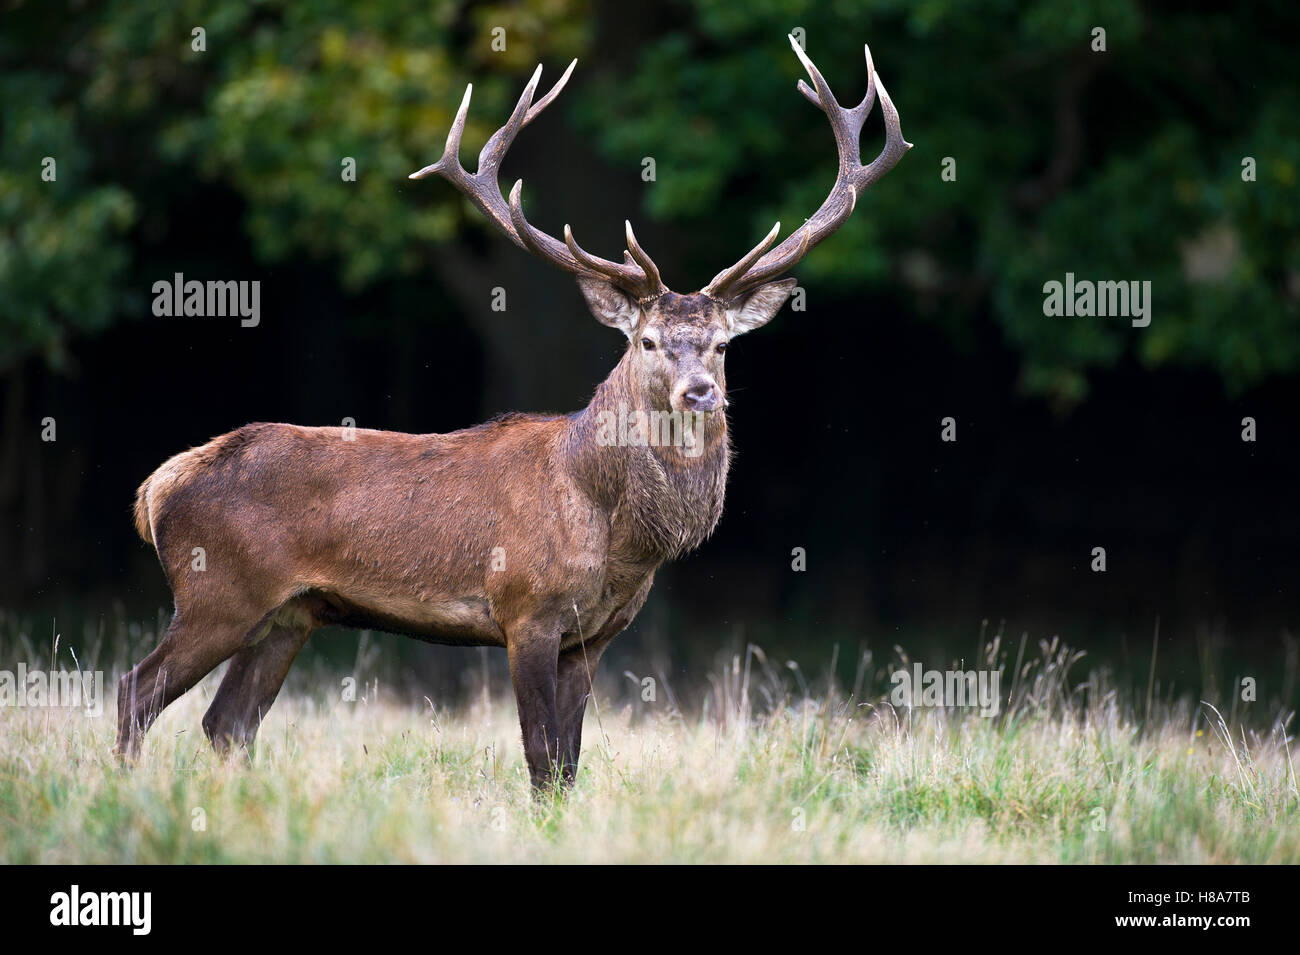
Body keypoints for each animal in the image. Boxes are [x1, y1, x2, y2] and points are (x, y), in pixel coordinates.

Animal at [116, 35, 909, 789]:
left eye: (720, 346)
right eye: (648, 340)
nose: (698, 393)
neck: (614, 530)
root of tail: (155, 488)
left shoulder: (597, 634)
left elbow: (570, 763)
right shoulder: (525, 607)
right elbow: (539, 756)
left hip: (289, 613)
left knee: (227, 724)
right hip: (217, 590)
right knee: (136, 690)